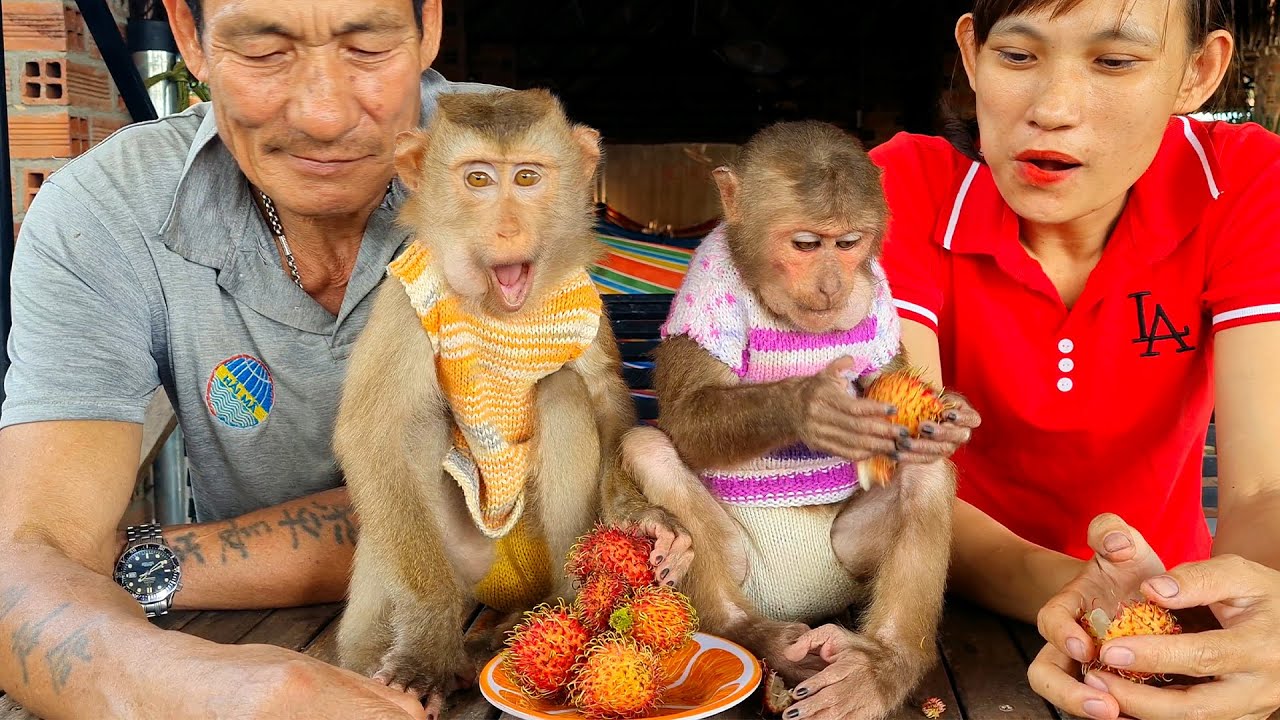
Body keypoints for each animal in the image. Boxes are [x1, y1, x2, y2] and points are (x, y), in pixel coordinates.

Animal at [331, 88, 661, 718]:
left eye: (527, 177)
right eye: (478, 179)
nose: (507, 230)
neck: (501, 308)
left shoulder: (583, 301)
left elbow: (606, 400)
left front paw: (638, 515)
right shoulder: (405, 300)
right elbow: (372, 434)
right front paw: (427, 647)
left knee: (562, 395)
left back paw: (553, 609)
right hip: (465, 561)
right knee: (416, 434)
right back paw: (379, 655)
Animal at [609, 121, 977, 720]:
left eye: (847, 243)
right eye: (805, 244)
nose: (831, 284)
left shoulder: (878, 289)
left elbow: (890, 380)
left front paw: (956, 411)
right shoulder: (707, 290)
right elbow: (686, 418)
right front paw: (809, 405)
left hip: (846, 564)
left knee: (927, 467)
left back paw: (883, 662)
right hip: (741, 564)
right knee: (649, 448)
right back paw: (754, 635)